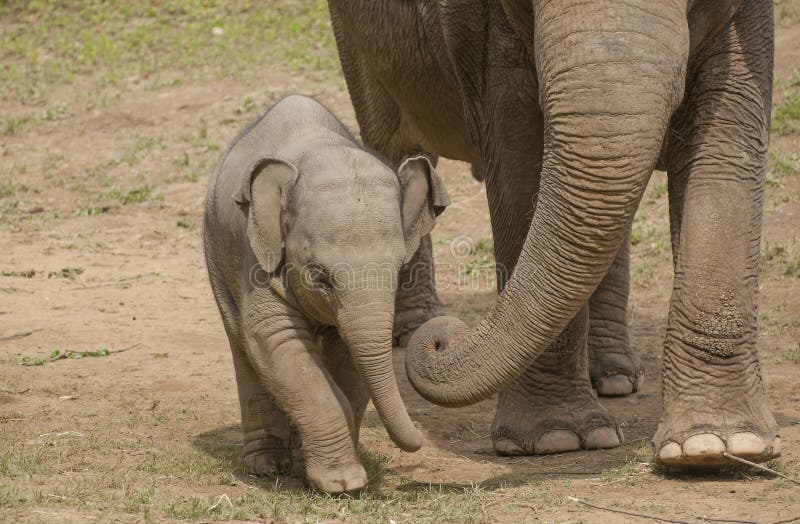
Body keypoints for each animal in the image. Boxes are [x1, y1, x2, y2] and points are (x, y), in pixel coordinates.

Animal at [203, 95, 450, 492]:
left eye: (399, 270)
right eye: (319, 276)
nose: (420, 434)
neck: (321, 150)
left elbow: (350, 361)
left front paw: (338, 468)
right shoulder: (257, 258)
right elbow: (277, 343)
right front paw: (343, 484)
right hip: (216, 257)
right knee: (243, 349)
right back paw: (266, 466)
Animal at [327, 0, 781, 467]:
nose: (440, 341)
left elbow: (726, 147)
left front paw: (719, 447)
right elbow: (519, 152)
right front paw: (556, 438)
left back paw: (614, 377)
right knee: (395, 145)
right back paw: (415, 326)